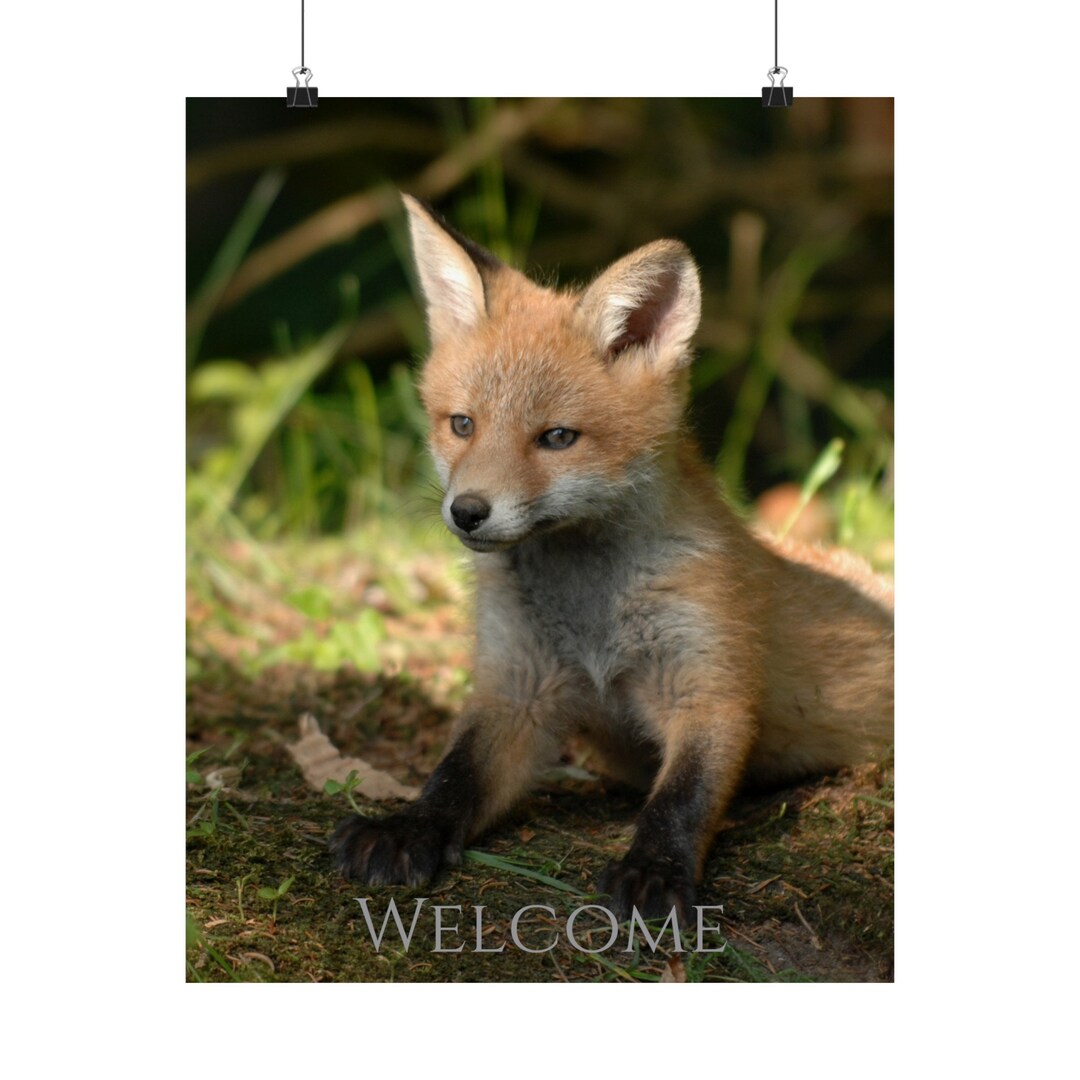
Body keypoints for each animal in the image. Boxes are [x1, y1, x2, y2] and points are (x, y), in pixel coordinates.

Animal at [330, 194, 894, 920]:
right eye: (462, 425)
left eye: (556, 438)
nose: (468, 511)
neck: (590, 609)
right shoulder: (517, 686)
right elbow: (455, 775)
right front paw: (408, 828)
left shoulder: (709, 684)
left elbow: (682, 798)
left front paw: (654, 870)